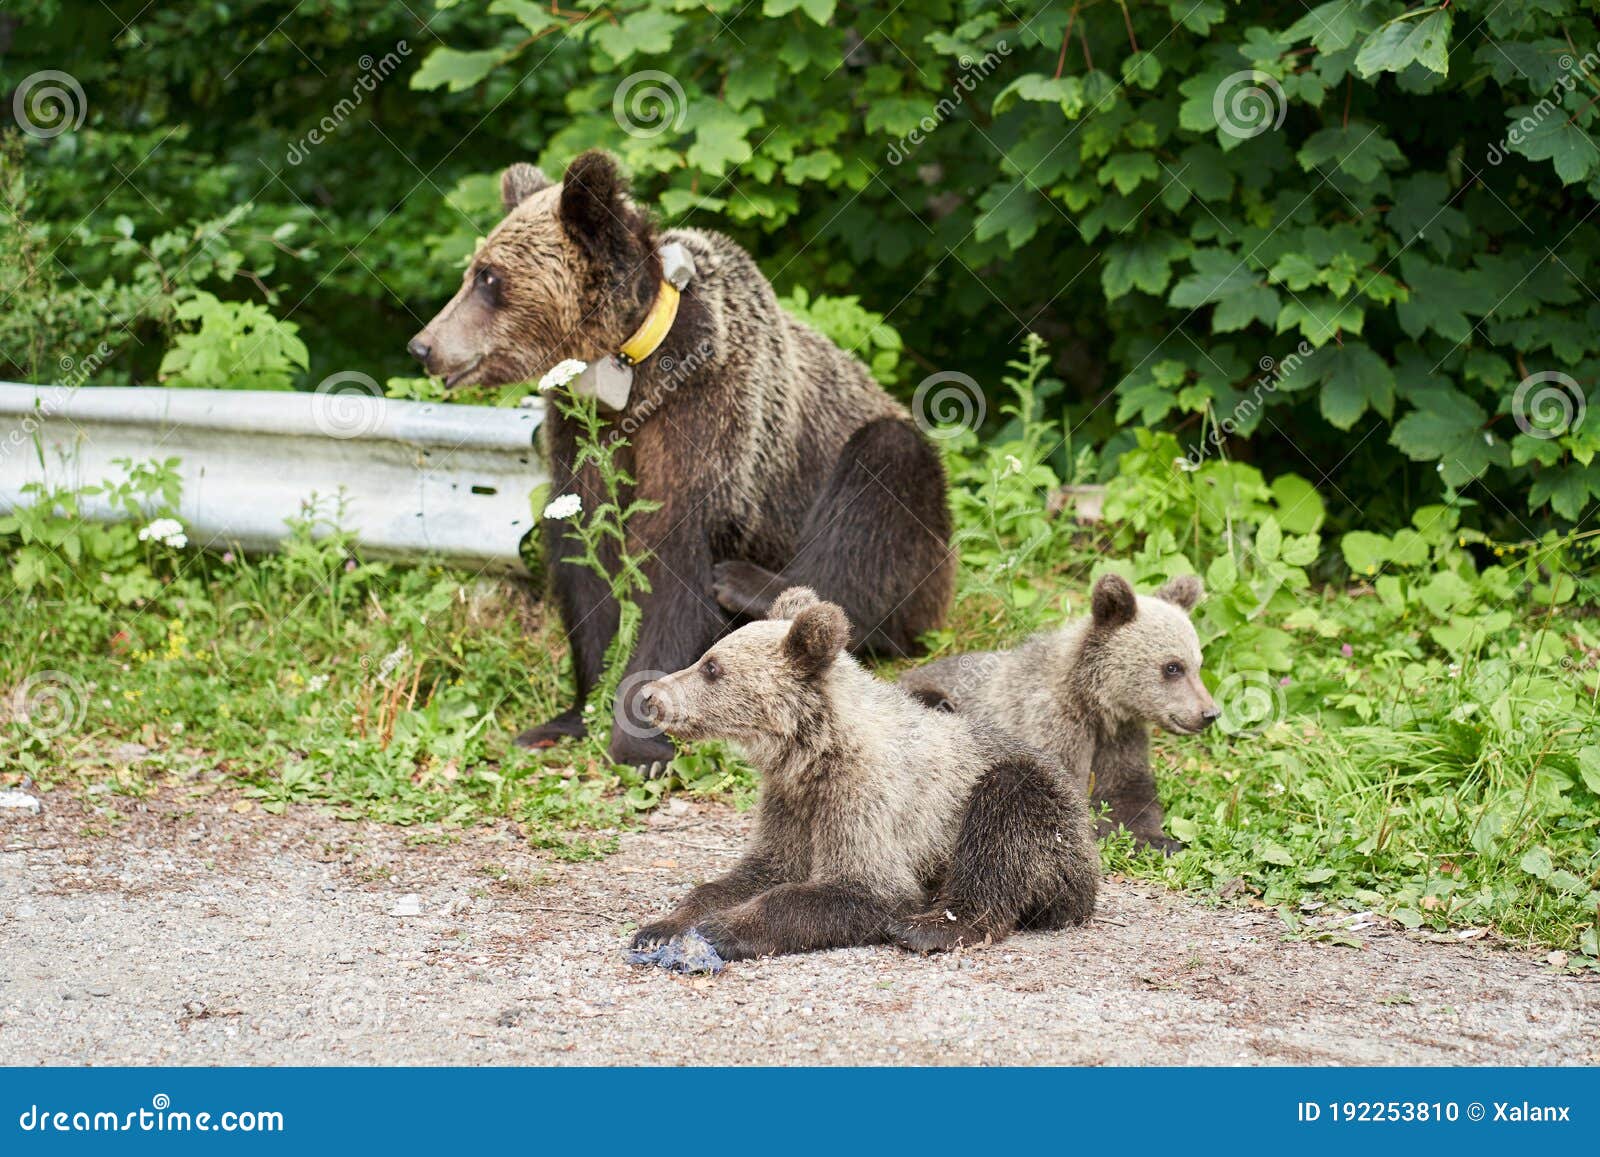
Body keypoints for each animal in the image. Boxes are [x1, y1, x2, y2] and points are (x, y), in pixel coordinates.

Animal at [408, 151, 955, 771]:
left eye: (488, 277)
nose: (424, 346)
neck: (630, 366)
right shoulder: (582, 423)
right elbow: (585, 550)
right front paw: (569, 716)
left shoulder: (707, 406)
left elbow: (675, 552)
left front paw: (640, 736)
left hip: (888, 493)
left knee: (882, 481)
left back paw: (750, 587)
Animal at [628, 587, 1100, 961]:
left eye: (712, 667)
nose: (650, 695)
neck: (814, 753)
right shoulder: (790, 802)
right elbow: (758, 871)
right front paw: (662, 927)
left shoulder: (865, 797)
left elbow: (868, 890)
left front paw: (722, 929)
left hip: (1038, 812)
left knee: (1001, 828)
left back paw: (932, 927)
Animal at [899, 573, 1218, 855]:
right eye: (1172, 667)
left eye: (1198, 664)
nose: (1209, 712)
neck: (1094, 704)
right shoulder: (1051, 723)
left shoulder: (1121, 736)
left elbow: (1130, 793)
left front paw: (1157, 839)